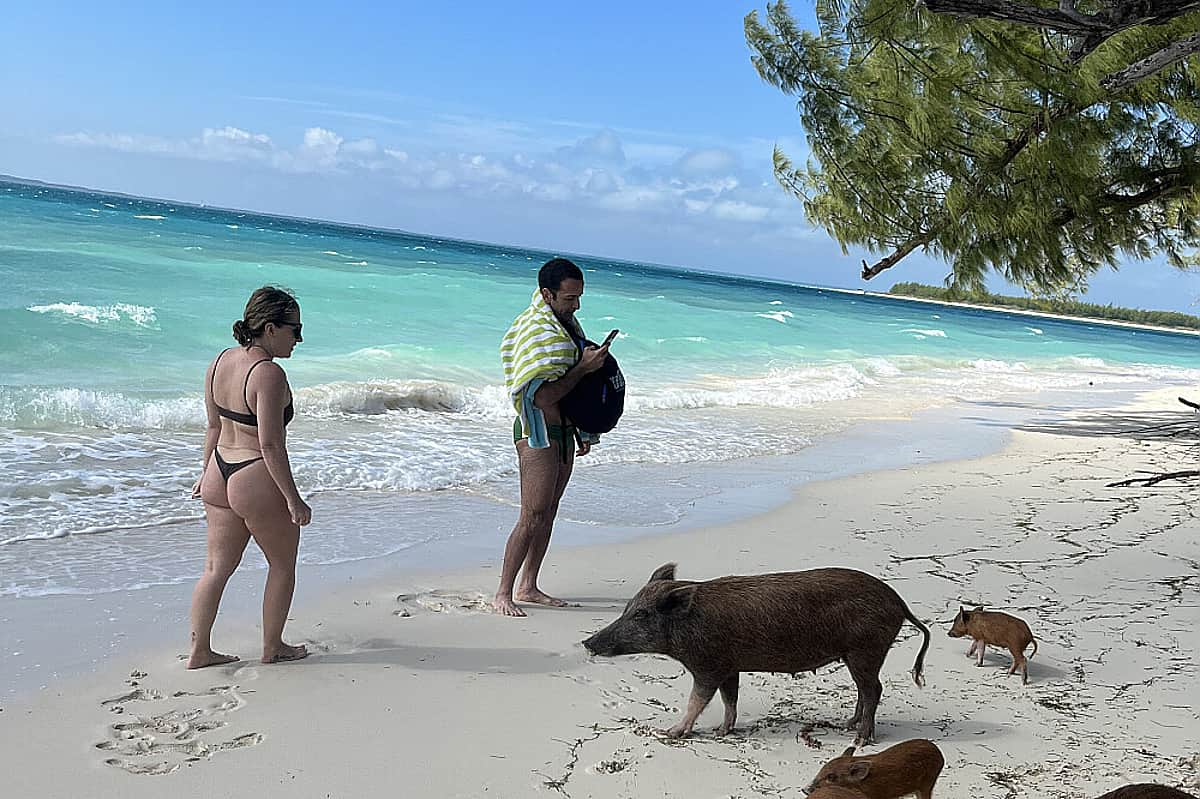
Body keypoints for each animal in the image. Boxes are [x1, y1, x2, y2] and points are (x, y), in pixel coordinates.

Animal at [576, 563, 931, 743]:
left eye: (641, 614)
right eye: (627, 608)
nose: (587, 643)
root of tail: (899, 602)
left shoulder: (708, 666)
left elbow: (696, 701)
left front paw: (671, 733)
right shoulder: (729, 667)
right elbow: (729, 700)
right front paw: (722, 731)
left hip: (865, 649)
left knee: (874, 689)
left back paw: (860, 739)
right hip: (855, 654)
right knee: (864, 690)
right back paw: (847, 724)